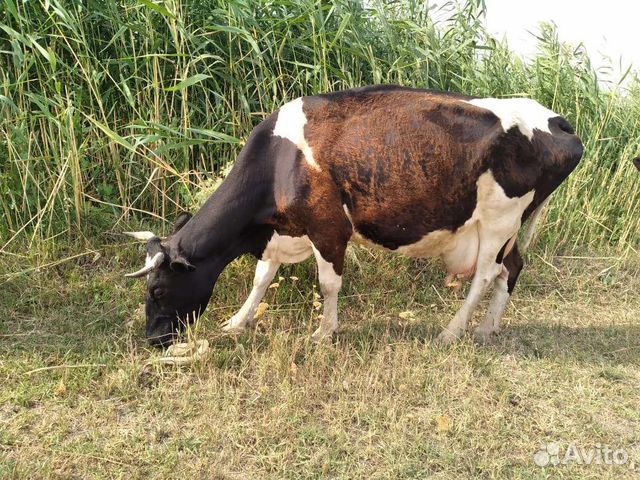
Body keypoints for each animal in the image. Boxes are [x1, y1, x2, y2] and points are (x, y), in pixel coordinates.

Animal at [125, 85, 583, 347]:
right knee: (513, 266)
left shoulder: (327, 226)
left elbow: (328, 284)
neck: (280, 160)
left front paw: (324, 332)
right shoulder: (283, 231)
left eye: (158, 290)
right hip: (511, 227)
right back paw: (488, 329)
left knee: (486, 275)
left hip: (498, 219)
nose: (153, 340)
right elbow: (261, 279)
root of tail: (558, 120)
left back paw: (451, 332)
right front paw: (236, 323)